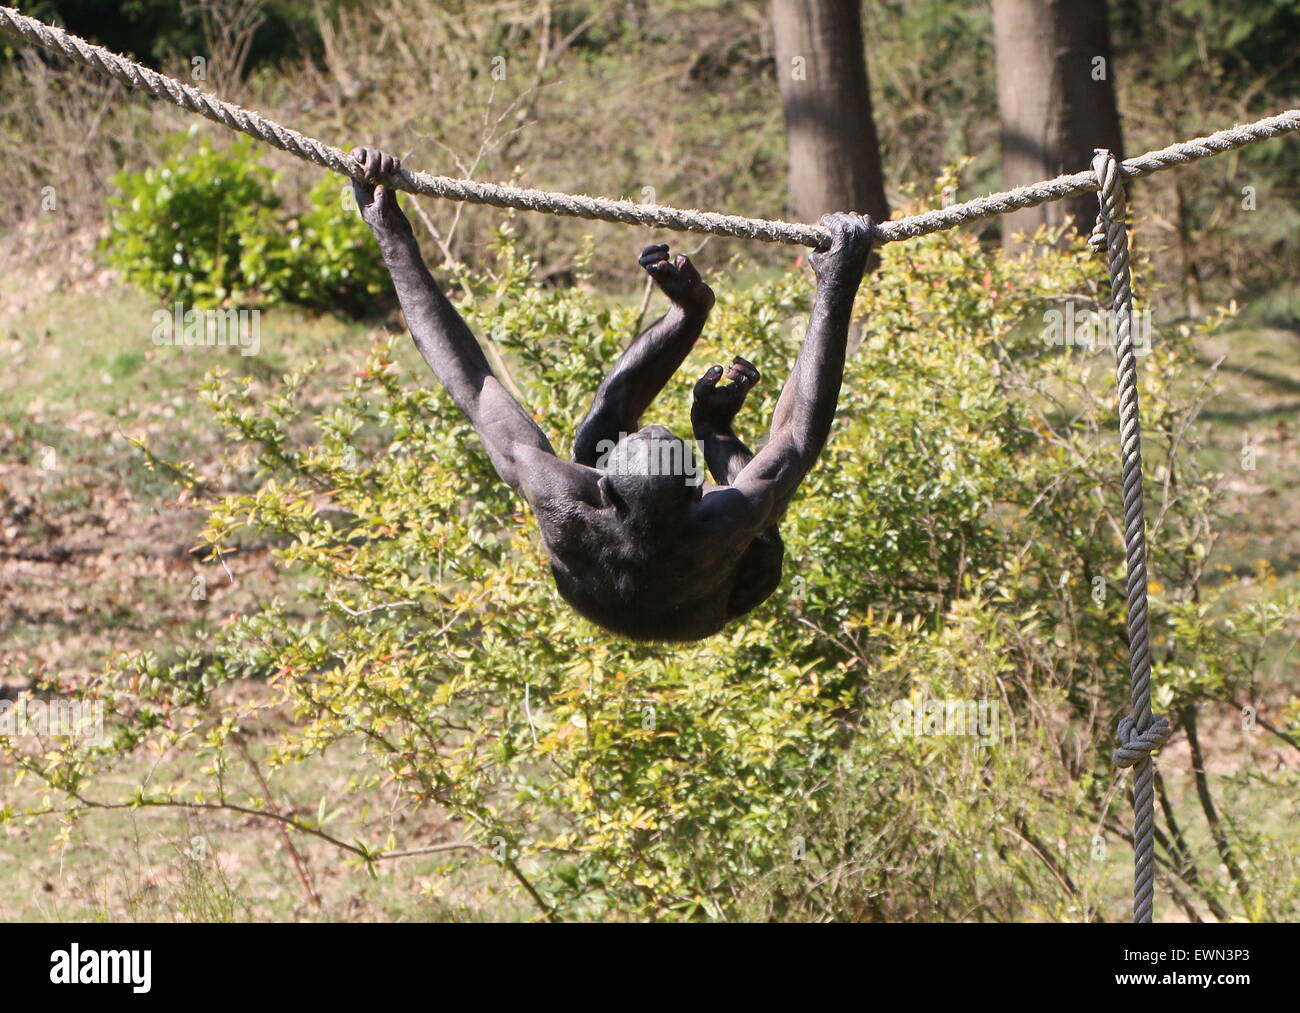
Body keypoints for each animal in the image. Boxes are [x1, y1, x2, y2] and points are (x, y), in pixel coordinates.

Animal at [350, 146, 873, 642]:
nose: (657, 431)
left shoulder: (549, 478)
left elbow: (477, 393)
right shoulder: (728, 503)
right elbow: (794, 444)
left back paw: (697, 348)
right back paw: (701, 358)